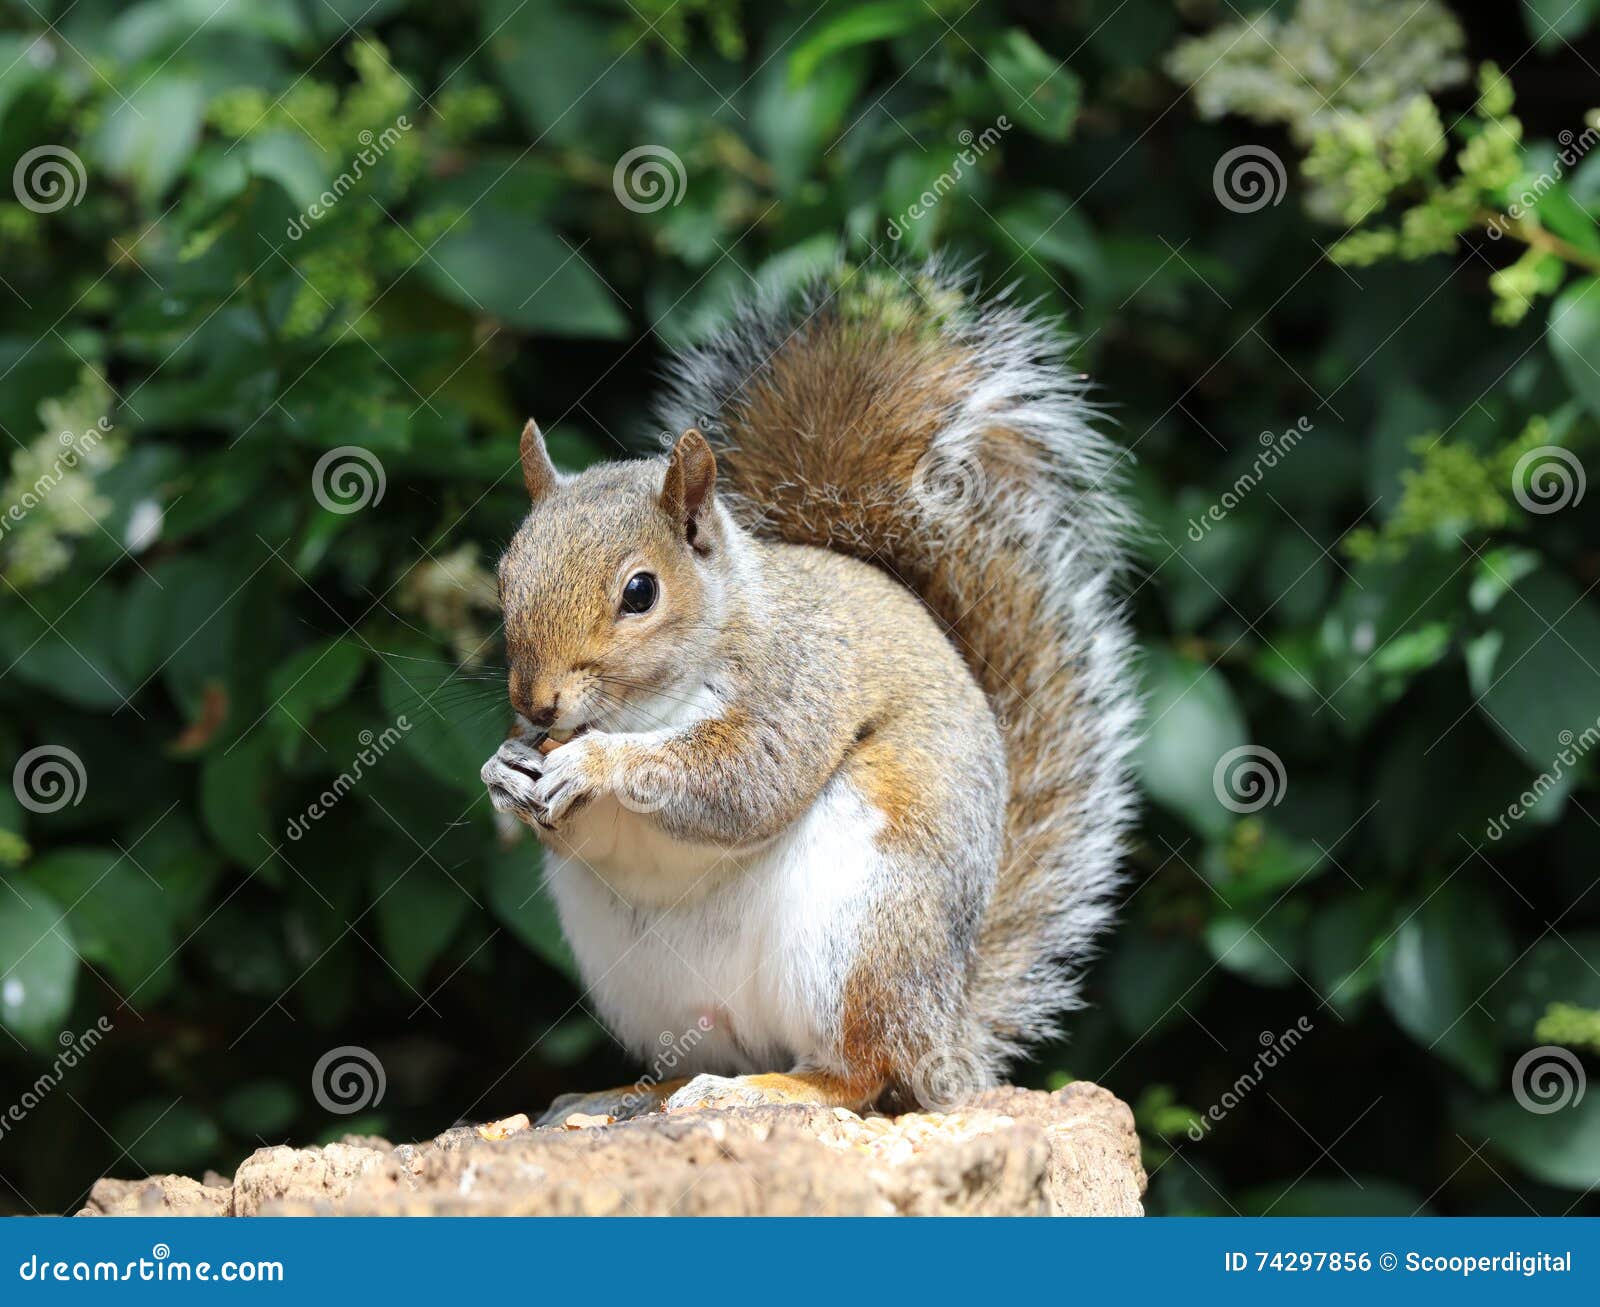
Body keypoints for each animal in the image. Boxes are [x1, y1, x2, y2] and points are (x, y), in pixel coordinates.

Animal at [480, 262, 1138, 1123]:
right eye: (505, 574)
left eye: (640, 592)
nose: (538, 705)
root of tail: (948, 1035)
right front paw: (501, 768)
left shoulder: (796, 689)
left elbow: (744, 783)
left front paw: (595, 762)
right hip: (652, 981)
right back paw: (636, 1091)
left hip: (859, 931)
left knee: (860, 1073)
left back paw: (768, 1089)